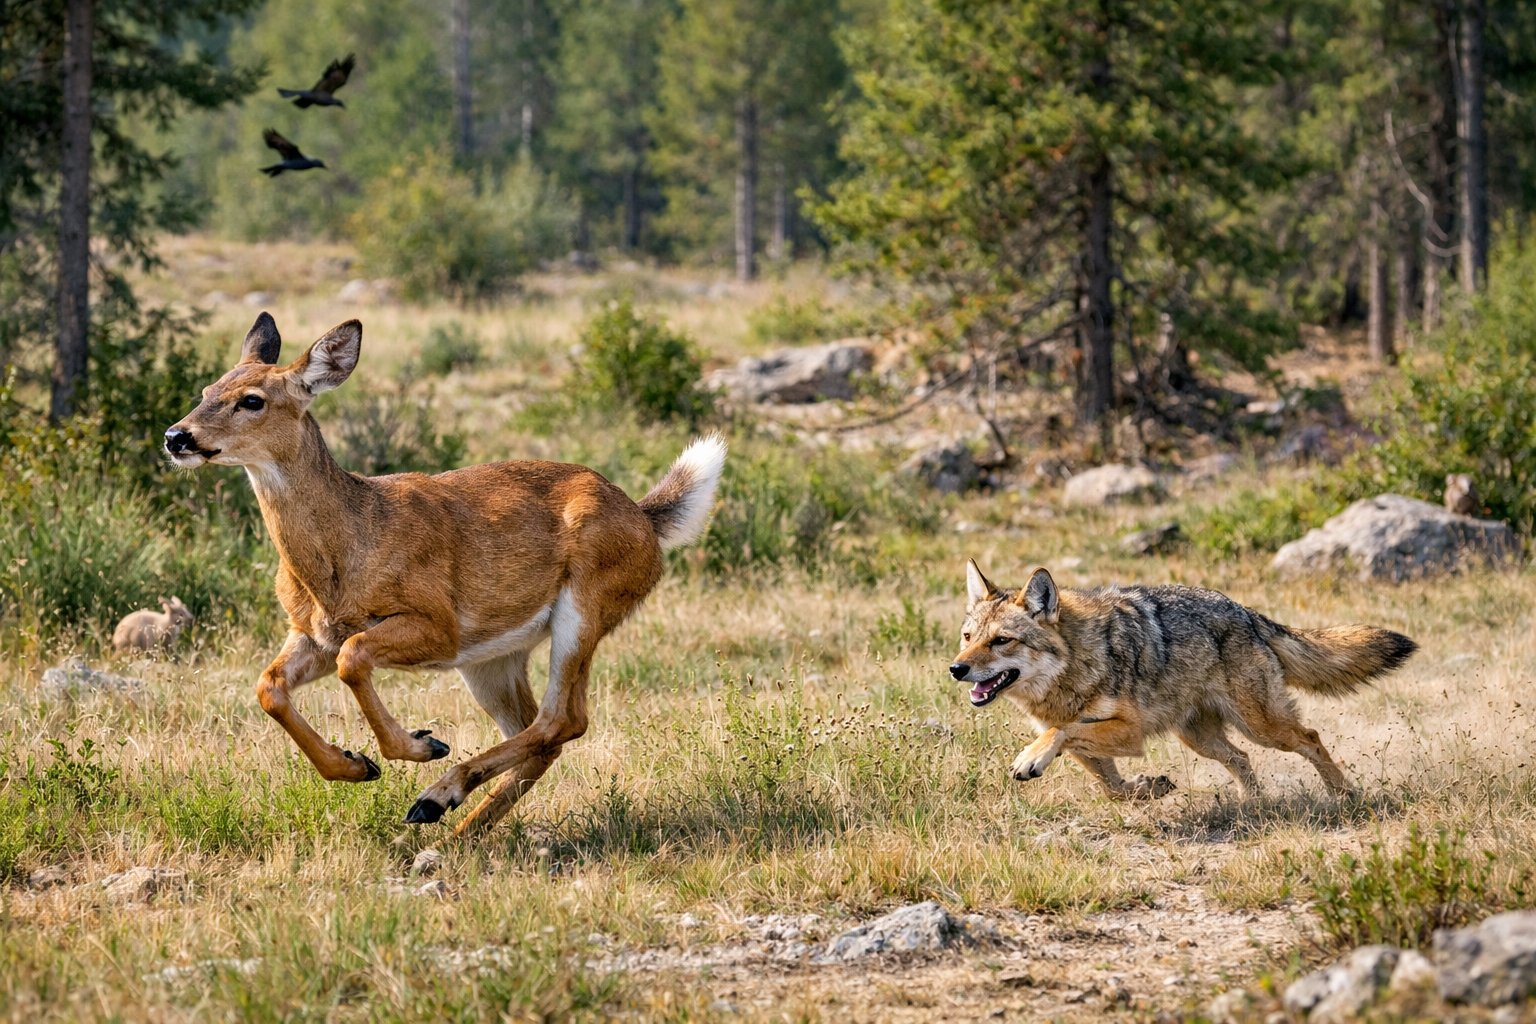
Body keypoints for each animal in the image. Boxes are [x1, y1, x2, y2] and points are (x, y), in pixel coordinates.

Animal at [164, 313, 725, 835]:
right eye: (207, 390)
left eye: (253, 400)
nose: (177, 436)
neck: (347, 547)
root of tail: (645, 519)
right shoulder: (312, 634)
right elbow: (269, 686)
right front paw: (355, 764)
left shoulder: (437, 625)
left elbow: (353, 657)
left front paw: (419, 744)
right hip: (494, 658)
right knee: (541, 732)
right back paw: (458, 829)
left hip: (583, 609)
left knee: (563, 719)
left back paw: (435, 797)